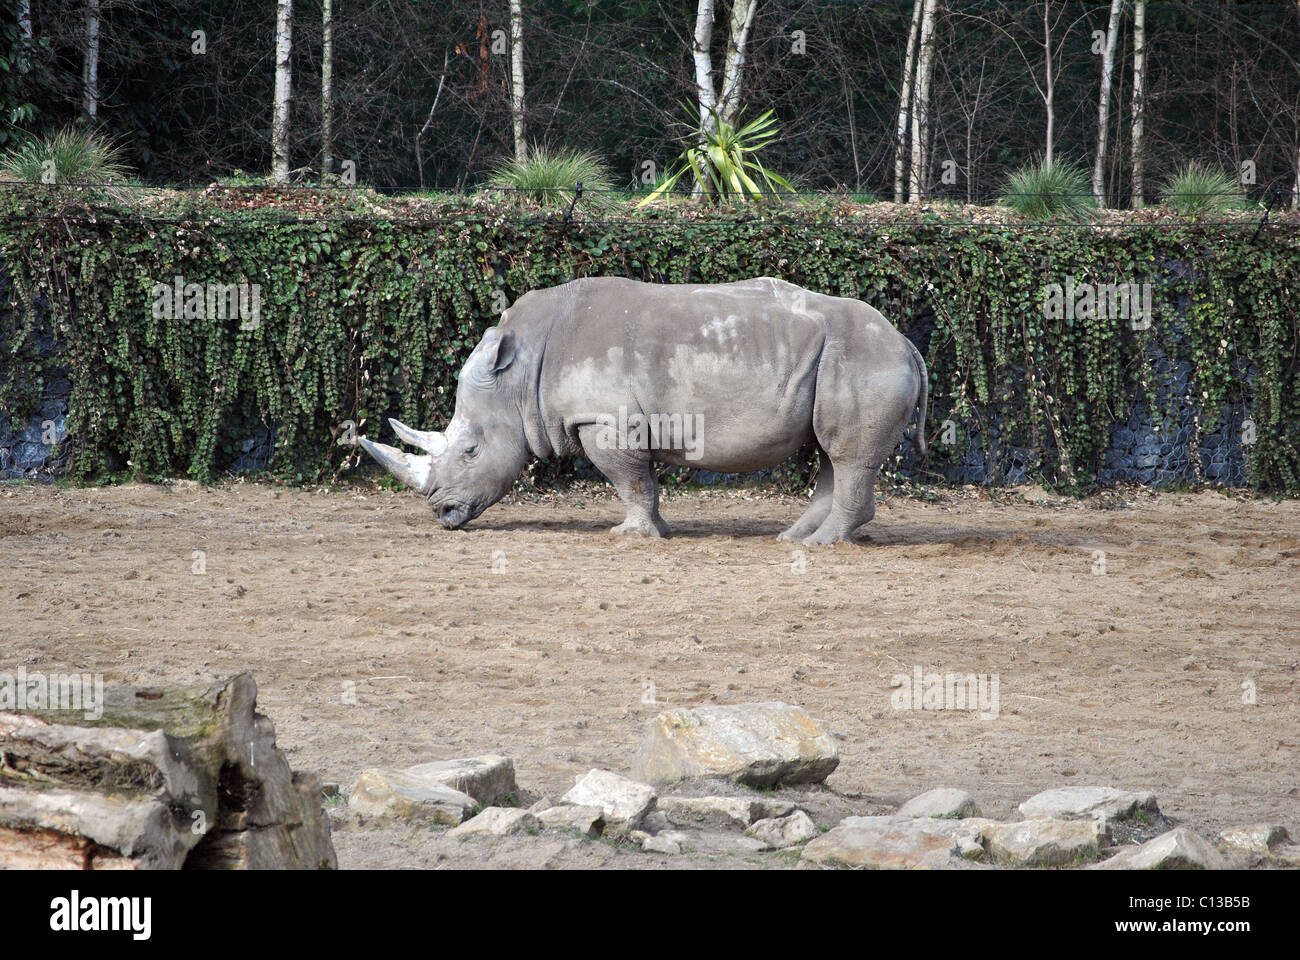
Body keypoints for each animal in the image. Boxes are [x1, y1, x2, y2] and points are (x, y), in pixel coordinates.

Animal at [358, 276, 927, 545]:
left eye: (472, 450)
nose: (442, 514)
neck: (517, 378)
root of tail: (906, 342)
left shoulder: (602, 419)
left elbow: (627, 479)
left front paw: (629, 535)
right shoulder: (615, 419)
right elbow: (643, 481)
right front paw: (659, 530)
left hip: (863, 359)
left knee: (846, 455)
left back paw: (821, 546)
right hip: (843, 360)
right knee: (830, 453)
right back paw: (792, 539)